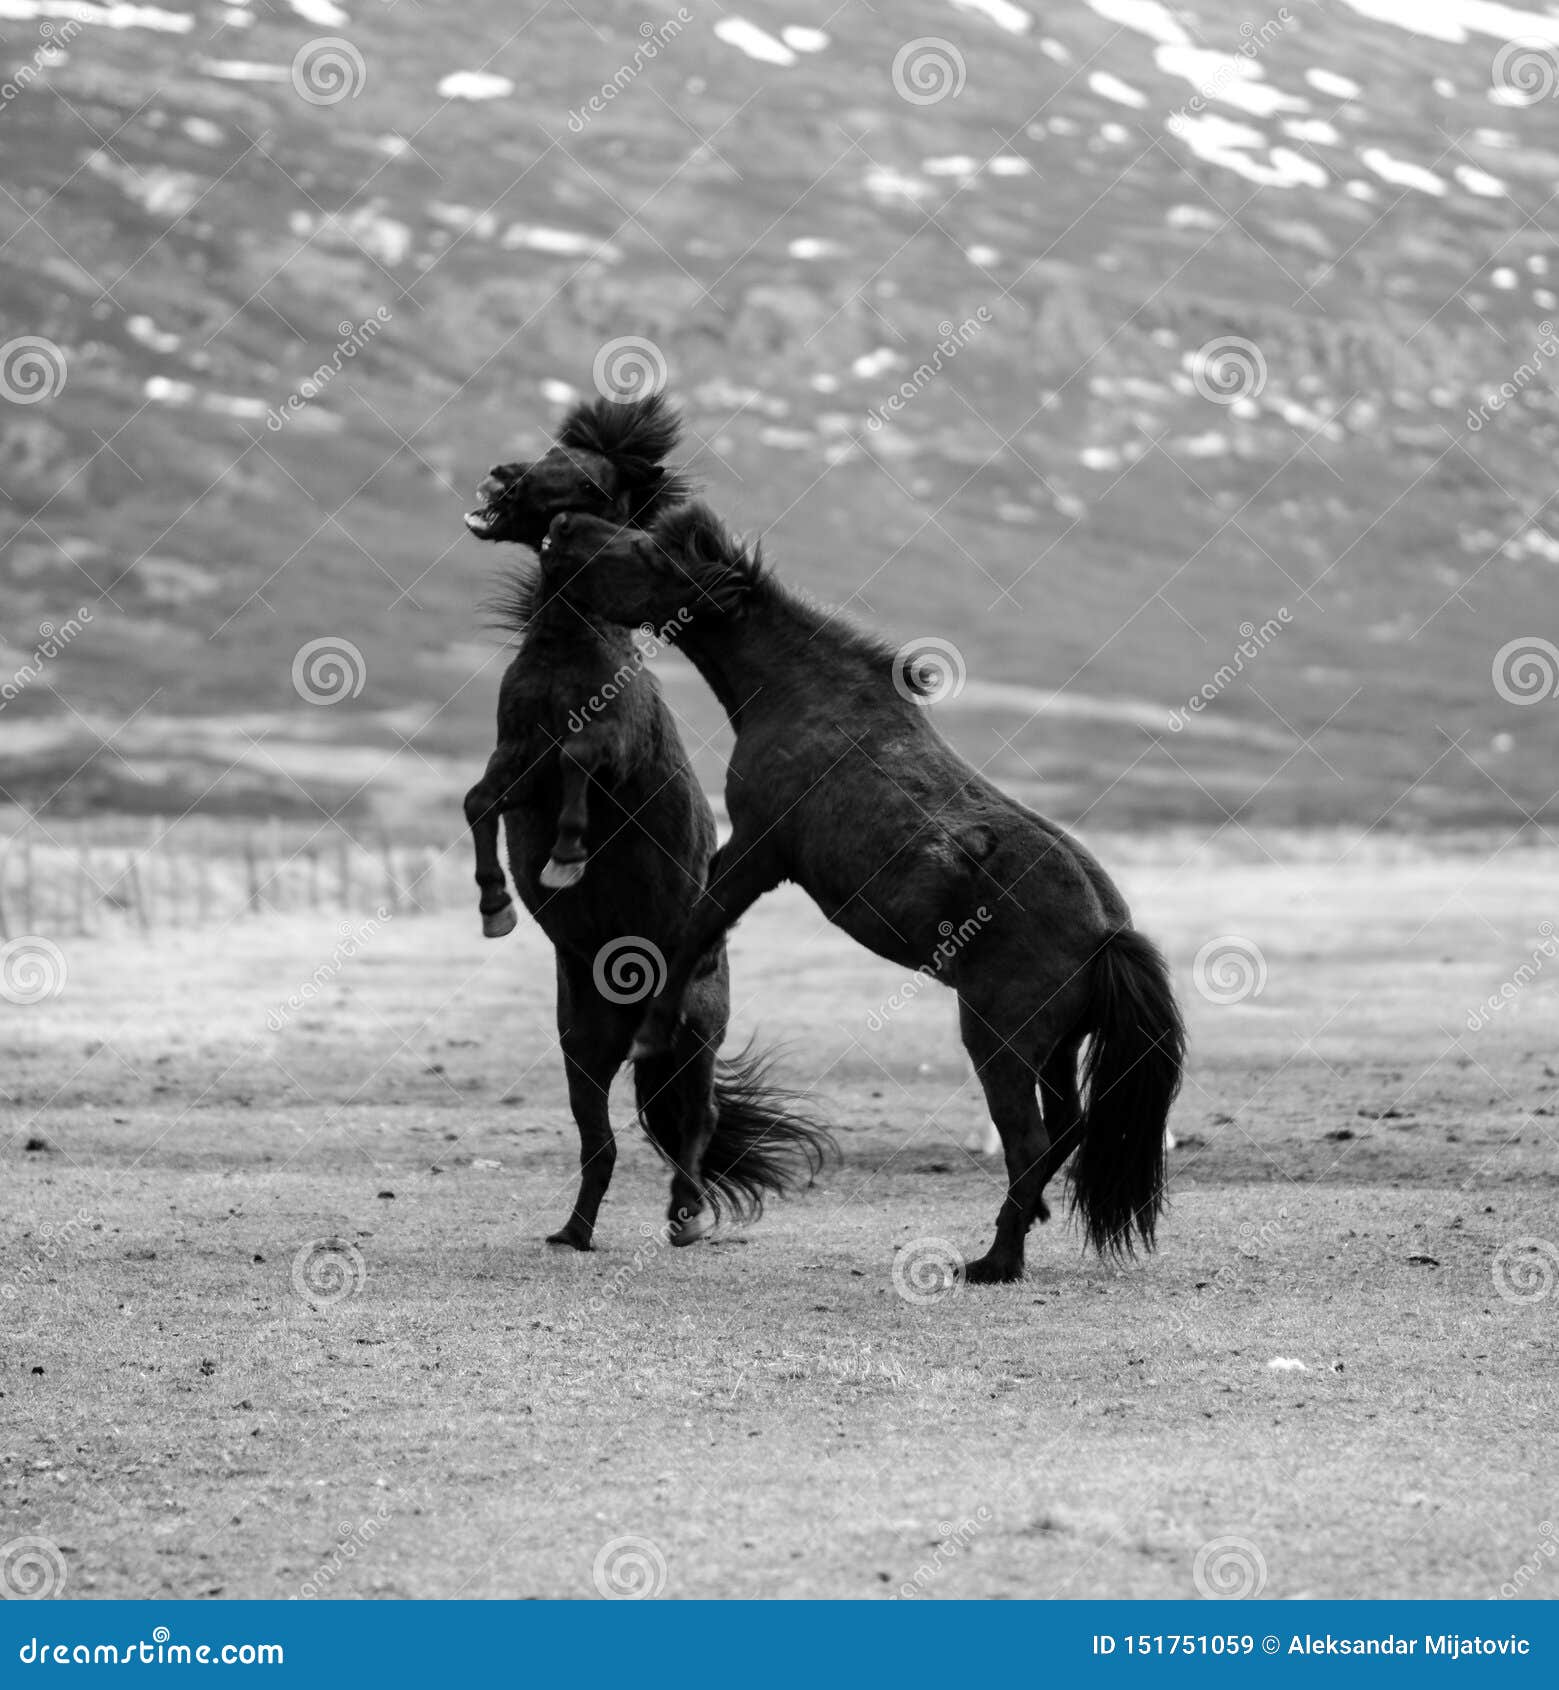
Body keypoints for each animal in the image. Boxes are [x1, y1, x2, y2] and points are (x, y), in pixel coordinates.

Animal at [460, 398, 831, 1248]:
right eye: (549, 454)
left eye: (583, 476)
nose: (502, 475)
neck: (565, 655)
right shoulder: (512, 760)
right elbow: (477, 804)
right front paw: (495, 907)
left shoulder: (606, 751)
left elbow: (576, 765)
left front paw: (565, 857)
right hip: (585, 1052)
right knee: (599, 1143)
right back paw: (573, 1232)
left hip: (690, 1038)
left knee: (696, 1122)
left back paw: (685, 1218)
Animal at [533, 500, 1185, 1283]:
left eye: (643, 550)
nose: (561, 526)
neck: (803, 695)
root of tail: (1105, 933)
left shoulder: (757, 850)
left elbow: (694, 929)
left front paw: (654, 1032)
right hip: (1055, 1049)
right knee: (1065, 1130)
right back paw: (1022, 1226)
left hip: (998, 1043)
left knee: (1029, 1144)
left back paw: (993, 1261)